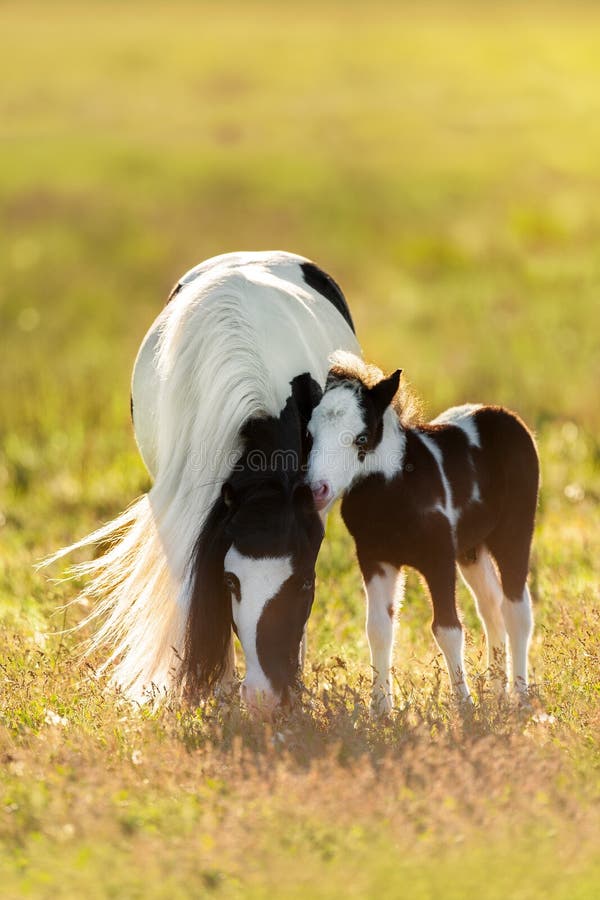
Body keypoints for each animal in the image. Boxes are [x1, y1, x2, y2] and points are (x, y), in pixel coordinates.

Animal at [306, 351, 539, 715]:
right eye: (309, 434)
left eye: (361, 437)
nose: (317, 491)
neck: (394, 489)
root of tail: (504, 416)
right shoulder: (375, 558)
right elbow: (378, 628)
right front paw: (380, 710)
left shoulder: (438, 557)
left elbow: (448, 629)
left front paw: (465, 709)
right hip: (471, 549)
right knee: (490, 606)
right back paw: (495, 692)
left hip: (514, 532)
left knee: (516, 609)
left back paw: (519, 697)